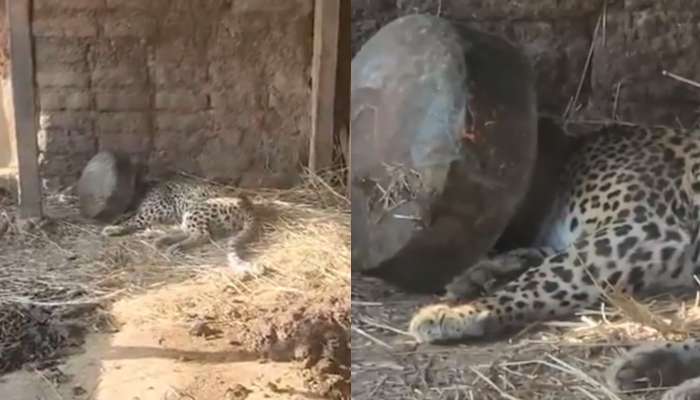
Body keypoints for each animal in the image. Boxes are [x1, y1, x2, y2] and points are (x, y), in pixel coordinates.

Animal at [101, 176, 256, 260]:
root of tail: (248, 204)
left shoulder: (151, 212)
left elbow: (132, 220)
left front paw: (112, 228)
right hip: (190, 215)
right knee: (185, 231)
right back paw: (161, 239)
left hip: (196, 210)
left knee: (202, 235)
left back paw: (173, 245)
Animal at [408, 124, 700, 397]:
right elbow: (542, 260)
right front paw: (478, 277)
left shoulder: (643, 232)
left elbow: (545, 276)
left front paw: (459, 312)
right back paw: (650, 366)